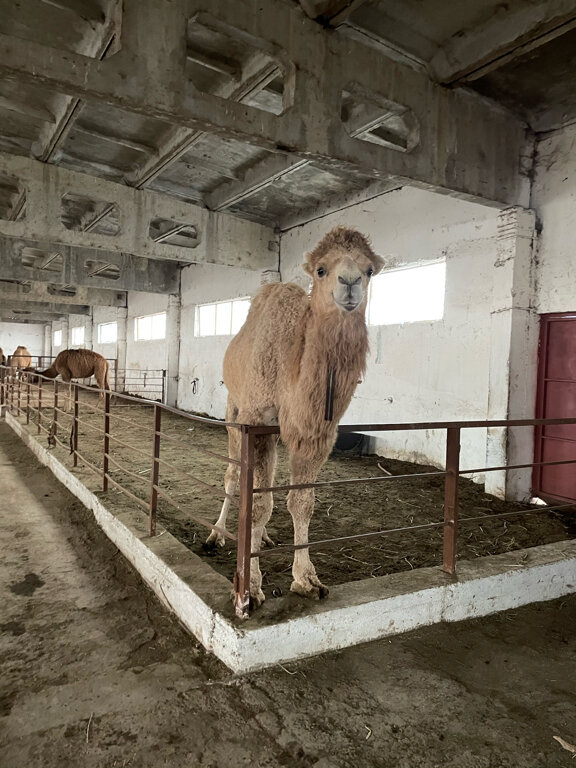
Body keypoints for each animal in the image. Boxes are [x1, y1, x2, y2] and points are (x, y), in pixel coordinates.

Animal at [206, 226, 385, 609]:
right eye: (321, 269)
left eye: (369, 270)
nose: (350, 282)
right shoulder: (256, 422)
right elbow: (258, 502)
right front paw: (251, 587)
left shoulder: (314, 434)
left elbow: (301, 503)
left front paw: (307, 580)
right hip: (233, 411)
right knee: (232, 476)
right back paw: (217, 535)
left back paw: (263, 539)